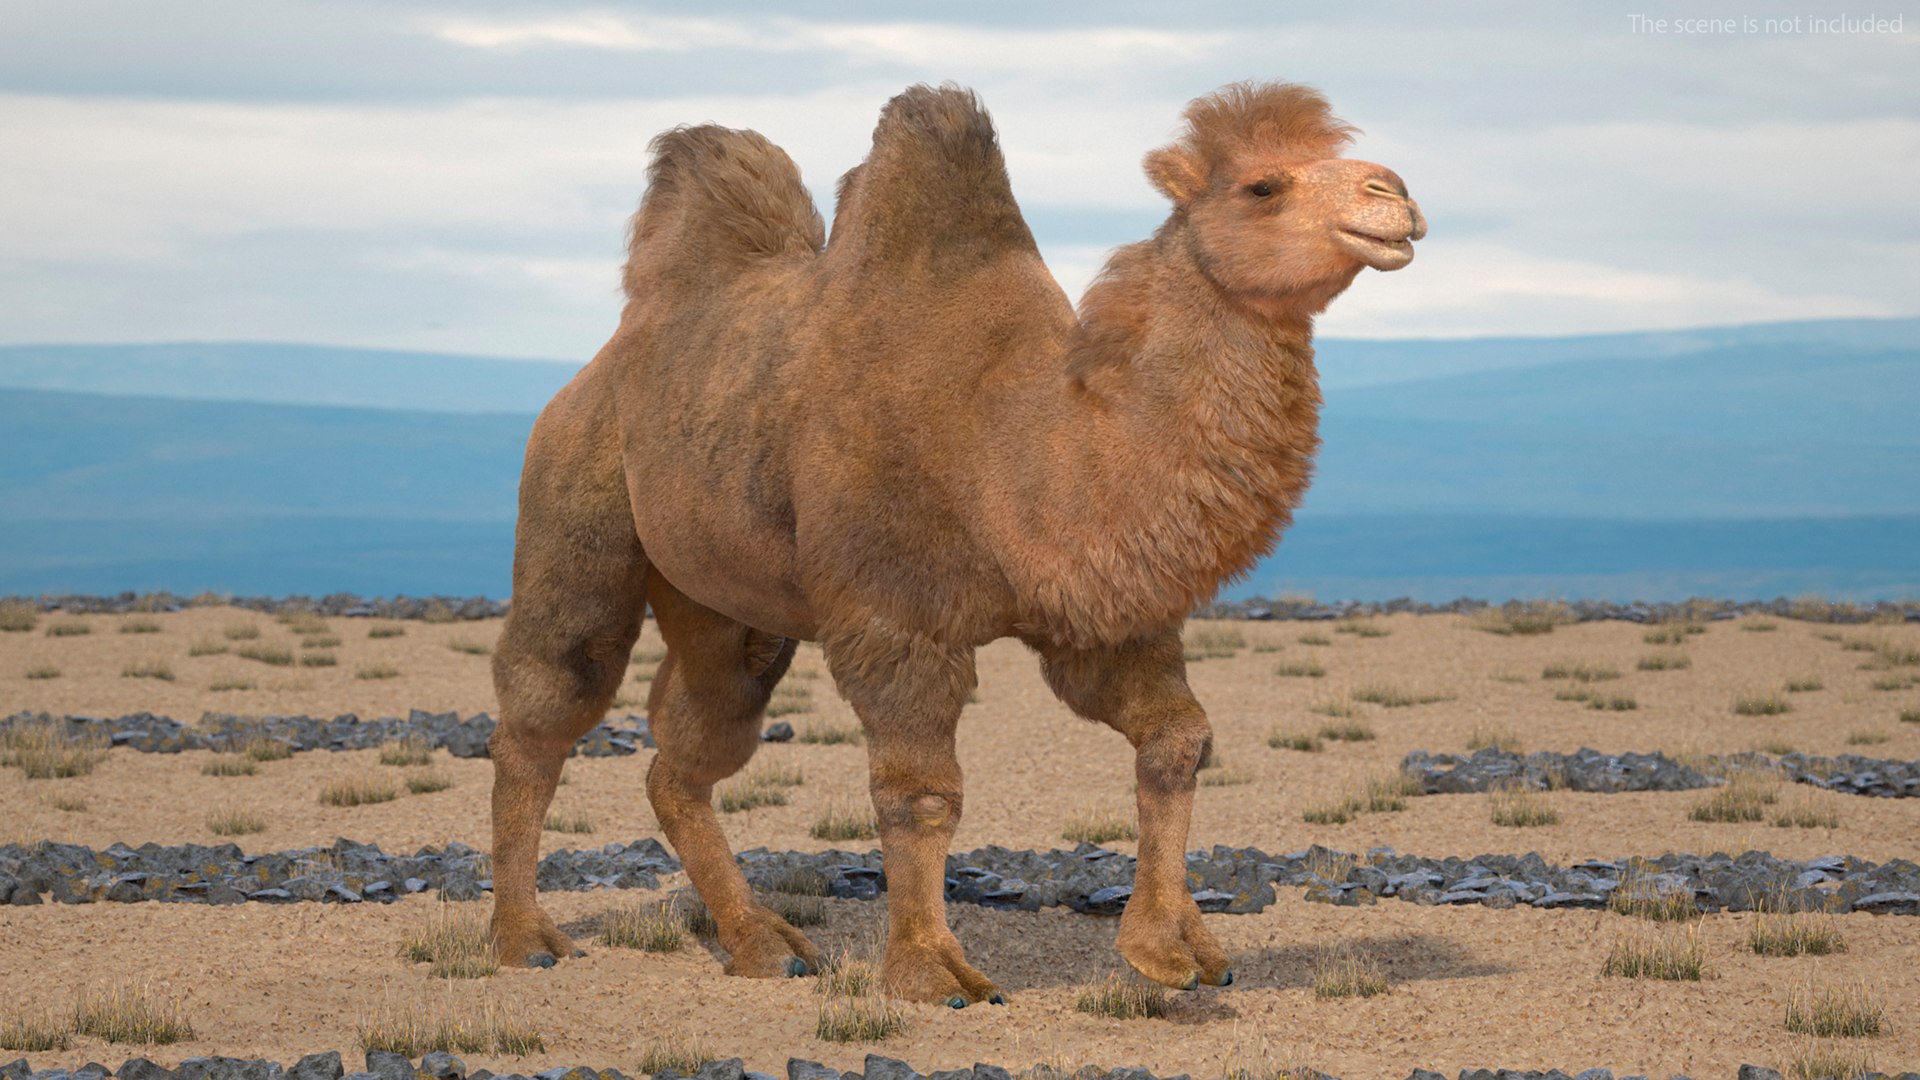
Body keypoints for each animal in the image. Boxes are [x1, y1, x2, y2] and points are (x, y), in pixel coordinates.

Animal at [488, 80, 1425, 1006]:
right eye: (1262, 186)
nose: (1395, 195)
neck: (1012, 438)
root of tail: (606, 360)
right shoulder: (896, 616)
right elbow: (922, 795)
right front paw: (931, 970)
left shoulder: (1100, 613)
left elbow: (1178, 741)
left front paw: (1174, 947)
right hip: (574, 495)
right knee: (548, 701)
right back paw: (524, 939)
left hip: (724, 602)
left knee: (690, 747)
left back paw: (763, 944)